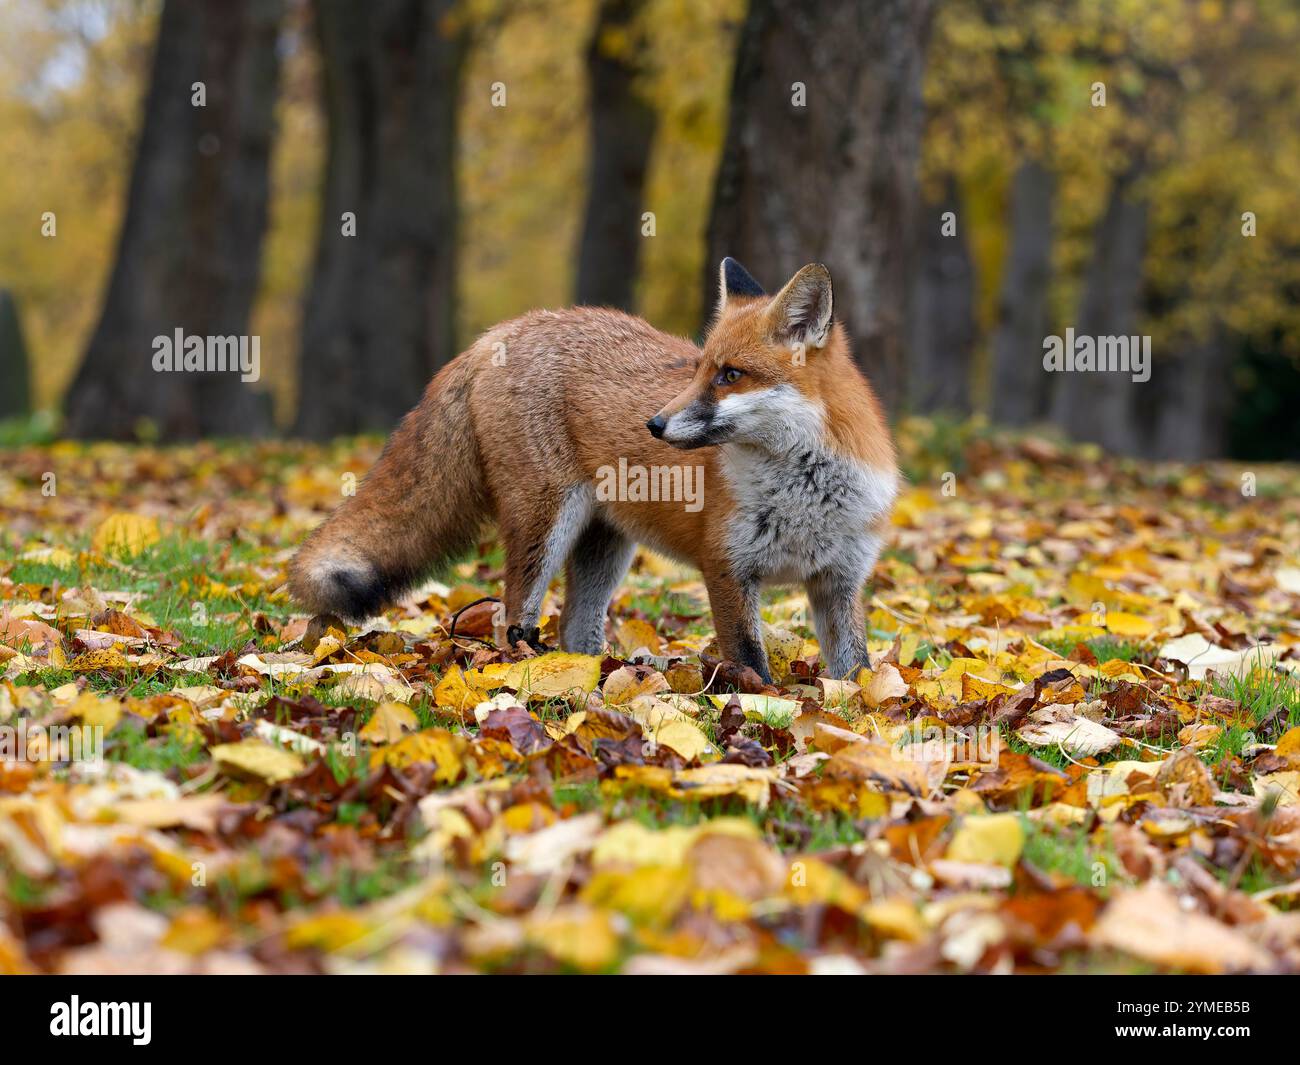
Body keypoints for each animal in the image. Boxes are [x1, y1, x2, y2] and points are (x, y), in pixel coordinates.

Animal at [288, 258, 899, 683]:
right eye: (698, 369)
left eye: (730, 375)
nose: (655, 424)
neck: (805, 495)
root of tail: (500, 333)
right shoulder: (726, 569)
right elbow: (751, 664)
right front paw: (764, 710)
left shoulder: (840, 581)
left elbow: (857, 672)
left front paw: (857, 720)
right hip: (546, 525)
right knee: (511, 619)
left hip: (606, 547)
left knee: (574, 631)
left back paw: (591, 682)